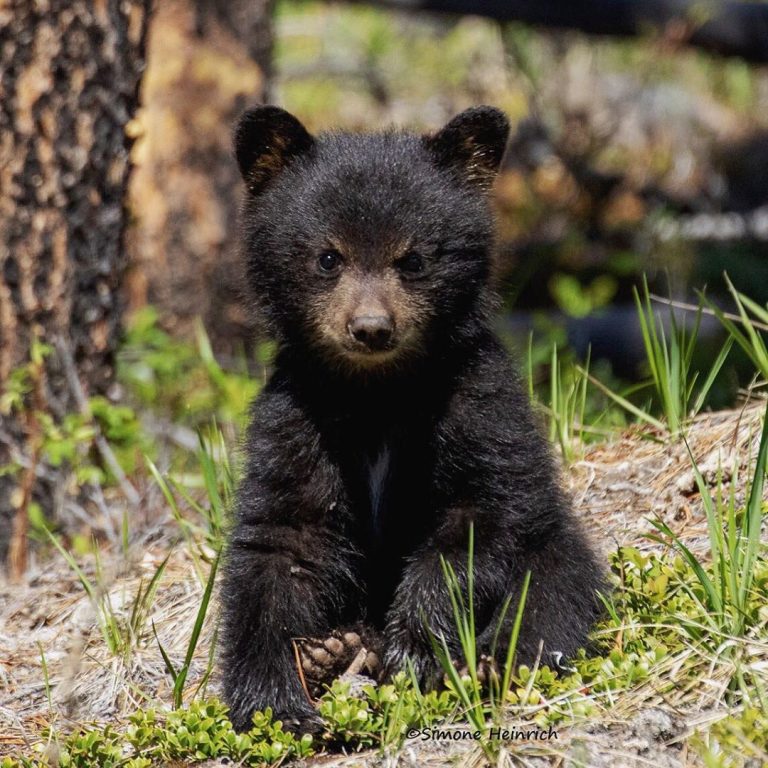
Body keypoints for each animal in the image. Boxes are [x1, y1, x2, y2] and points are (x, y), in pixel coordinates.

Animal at [220, 104, 605, 733]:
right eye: (328, 256)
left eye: (415, 259)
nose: (371, 328)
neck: (379, 395)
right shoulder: (298, 418)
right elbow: (281, 542)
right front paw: (274, 701)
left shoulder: (477, 403)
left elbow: (480, 516)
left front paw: (415, 646)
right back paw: (338, 649)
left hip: (559, 550)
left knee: (554, 588)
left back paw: (486, 661)